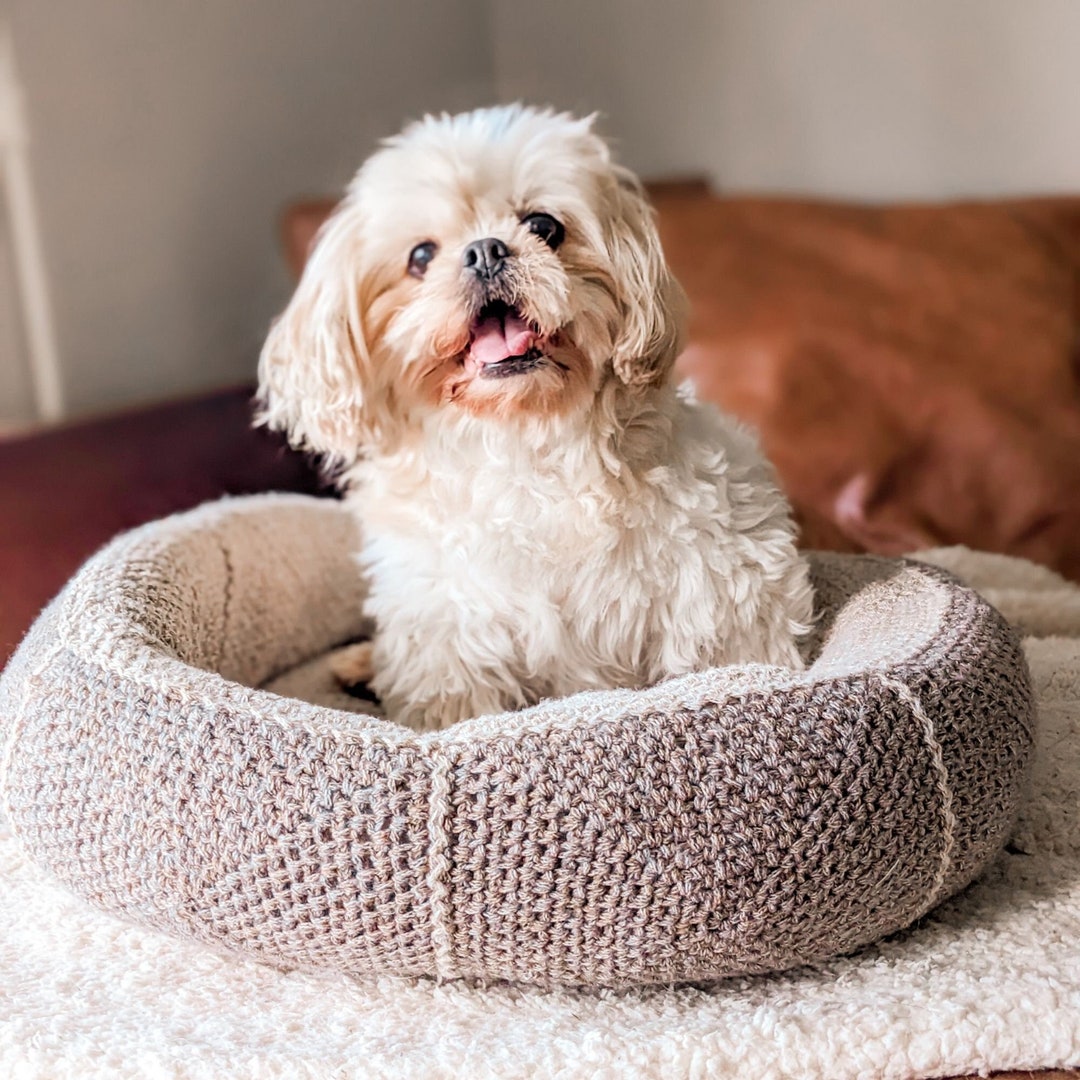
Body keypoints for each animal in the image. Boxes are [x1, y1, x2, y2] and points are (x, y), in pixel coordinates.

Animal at [257, 105, 812, 730]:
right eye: (421, 257)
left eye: (544, 226)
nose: (485, 250)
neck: (521, 439)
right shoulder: (448, 633)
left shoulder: (724, 582)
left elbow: (727, 655)